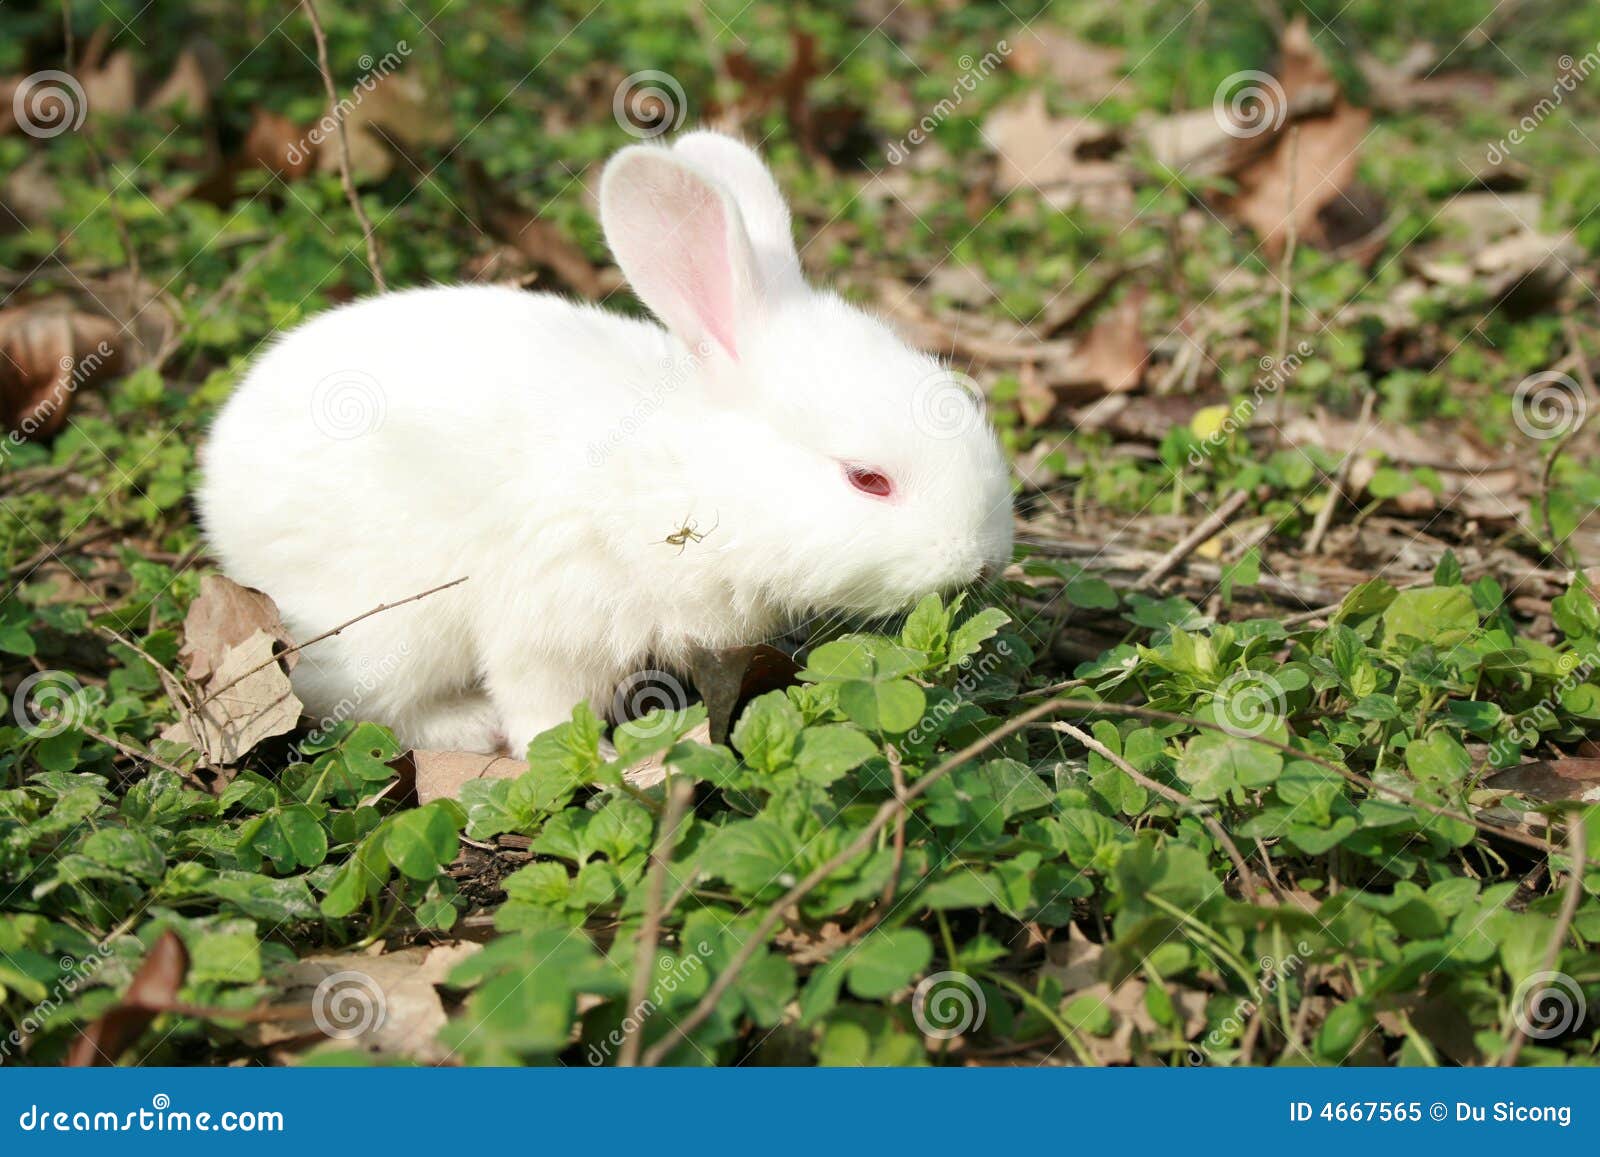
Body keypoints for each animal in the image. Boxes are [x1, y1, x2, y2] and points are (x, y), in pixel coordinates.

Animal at [197, 129, 1014, 756]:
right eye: (867, 479)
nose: (984, 559)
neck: (688, 473)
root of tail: (215, 478)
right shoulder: (549, 612)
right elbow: (541, 703)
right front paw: (576, 758)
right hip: (387, 626)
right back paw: (467, 727)